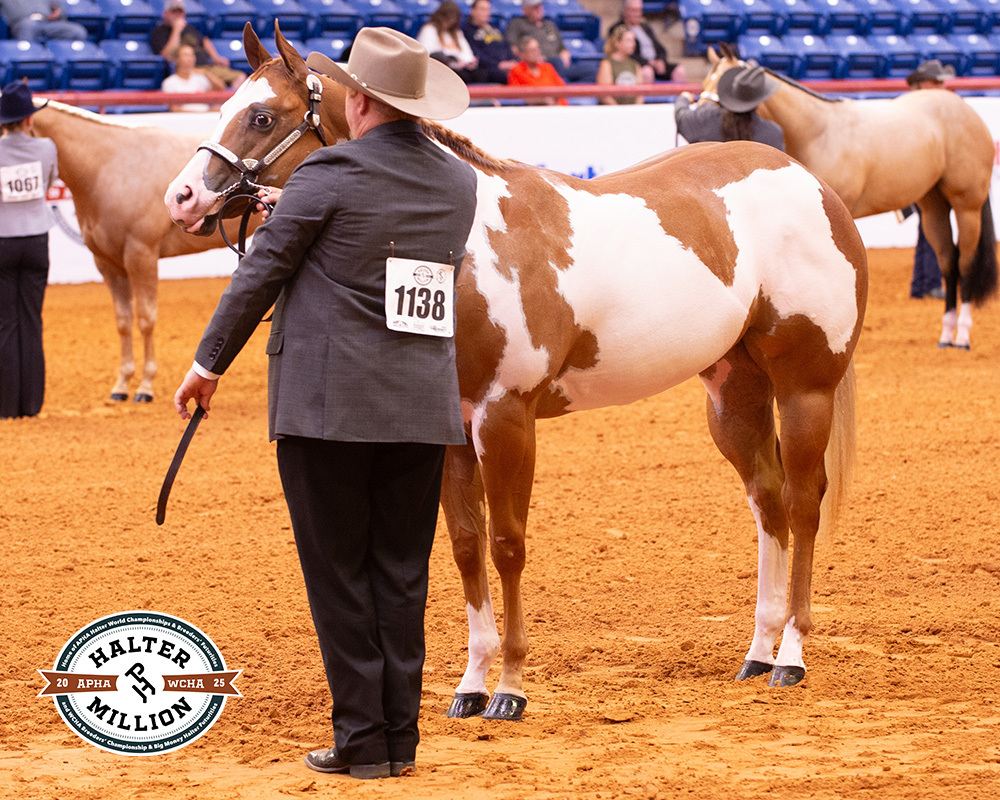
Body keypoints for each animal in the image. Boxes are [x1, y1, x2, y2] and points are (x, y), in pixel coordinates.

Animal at [29, 101, 284, 402]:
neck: (109, 168)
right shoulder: (107, 264)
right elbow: (123, 321)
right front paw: (121, 385)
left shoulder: (142, 256)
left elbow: (146, 319)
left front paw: (145, 387)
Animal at [164, 24, 868, 719]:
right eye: (224, 106)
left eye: (261, 116)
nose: (182, 196)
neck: (462, 241)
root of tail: (810, 182)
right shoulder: (451, 430)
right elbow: (465, 546)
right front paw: (471, 684)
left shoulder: (505, 417)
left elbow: (507, 544)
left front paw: (510, 686)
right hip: (733, 392)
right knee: (768, 500)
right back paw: (758, 652)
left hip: (805, 388)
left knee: (803, 503)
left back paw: (791, 655)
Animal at [701, 44, 997, 350]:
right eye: (705, 82)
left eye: (721, 91)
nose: (699, 115)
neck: (818, 133)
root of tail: (963, 108)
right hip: (933, 206)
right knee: (948, 261)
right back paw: (946, 333)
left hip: (967, 205)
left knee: (964, 262)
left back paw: (962, 336)